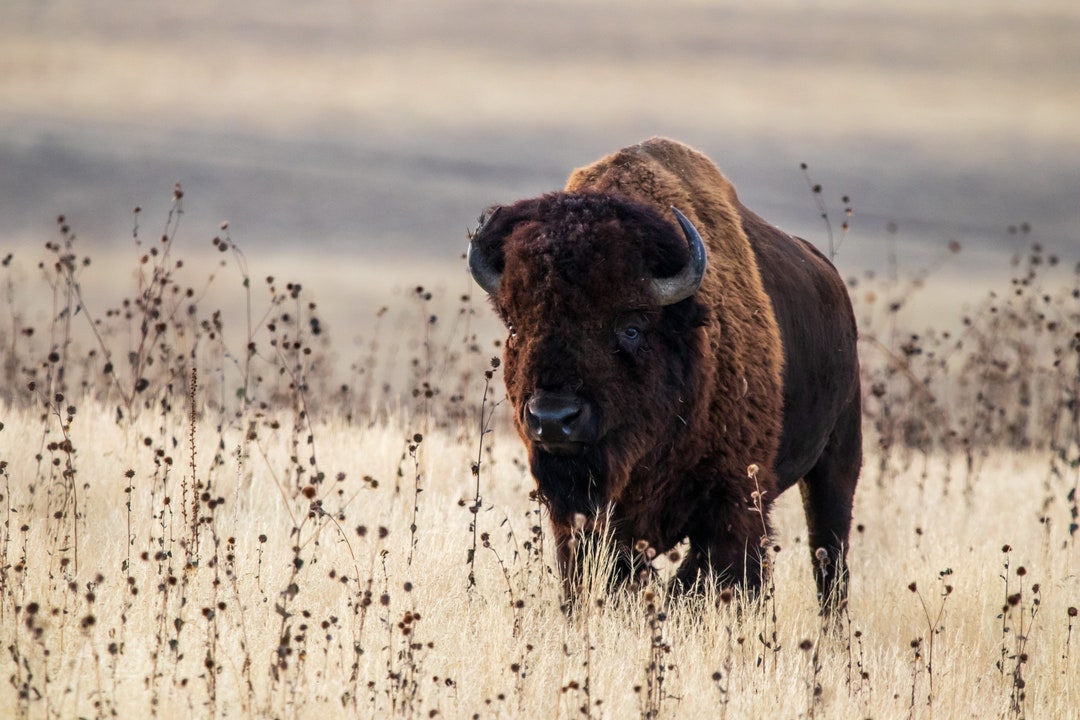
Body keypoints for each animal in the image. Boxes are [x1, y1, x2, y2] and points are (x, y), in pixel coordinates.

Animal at [467, 137, 861, 610]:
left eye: (631, 327)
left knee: (830, 558)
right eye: (514, 326)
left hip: (838, 458)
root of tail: (832, 281)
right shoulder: (582, 521)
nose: (553, 419)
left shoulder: (734, 502)